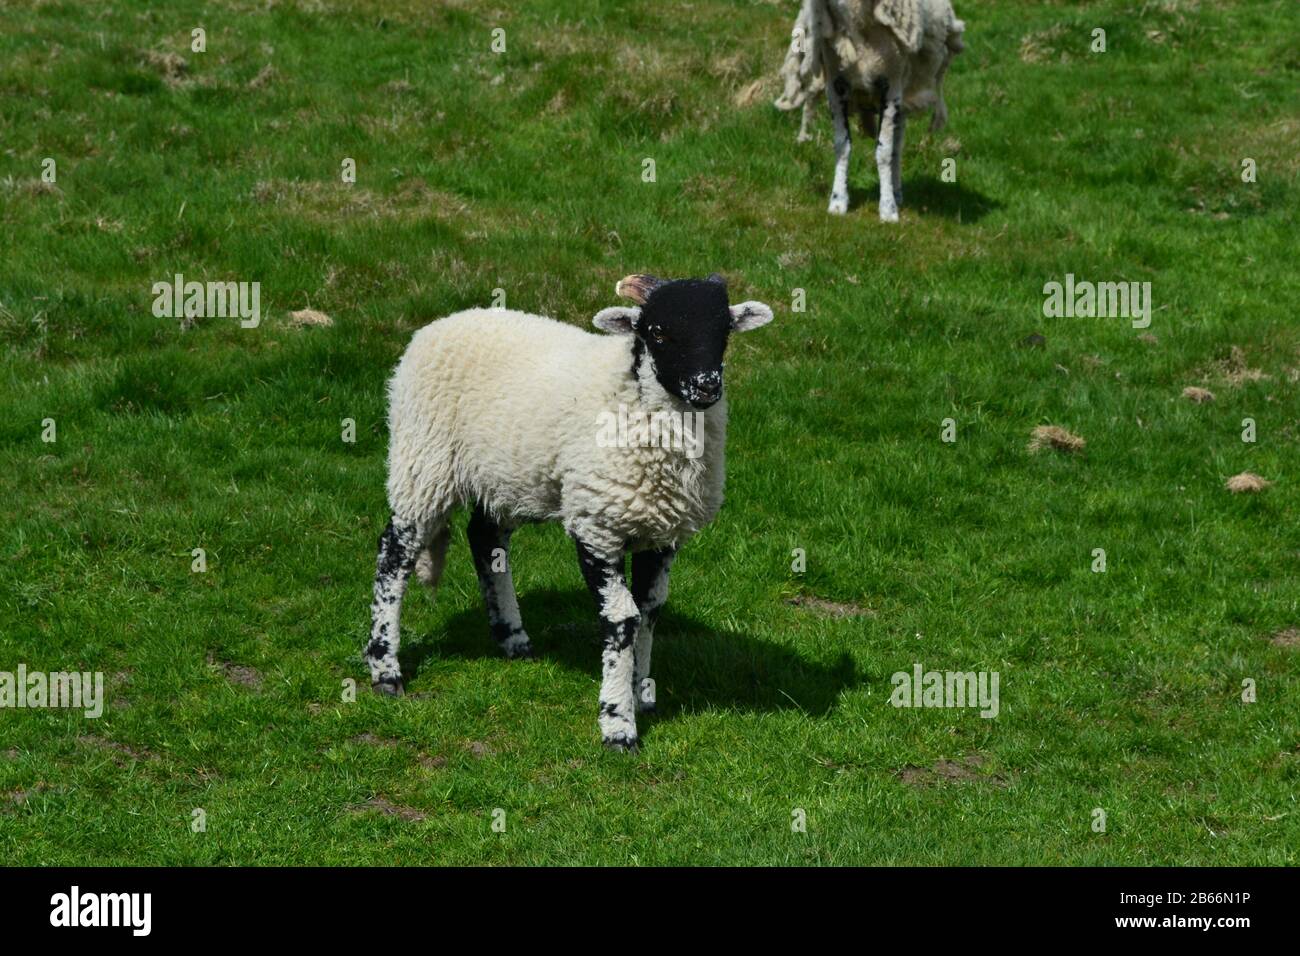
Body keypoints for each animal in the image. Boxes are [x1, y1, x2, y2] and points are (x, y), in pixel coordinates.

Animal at [366, 274, 774, 751]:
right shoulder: (597, 525)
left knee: (485, 538)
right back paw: (384, 667)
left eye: (723, 330)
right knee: (395, 552)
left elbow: (650, 610)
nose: (706, 385)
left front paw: (641, 693)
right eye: (657, 331)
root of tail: (444, 322)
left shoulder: (660, 531)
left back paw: (513, 639)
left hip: (508, 476)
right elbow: (623, 619)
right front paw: (617, 722)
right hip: (424, 460)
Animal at [774, 0, 965, 222]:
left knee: (896, 148)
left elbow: (884, 151)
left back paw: (896, 193)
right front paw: (838, 202)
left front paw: (888, 209)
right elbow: (841, 146)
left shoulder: (891, 86)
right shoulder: (835, 86)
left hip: (901, 91)